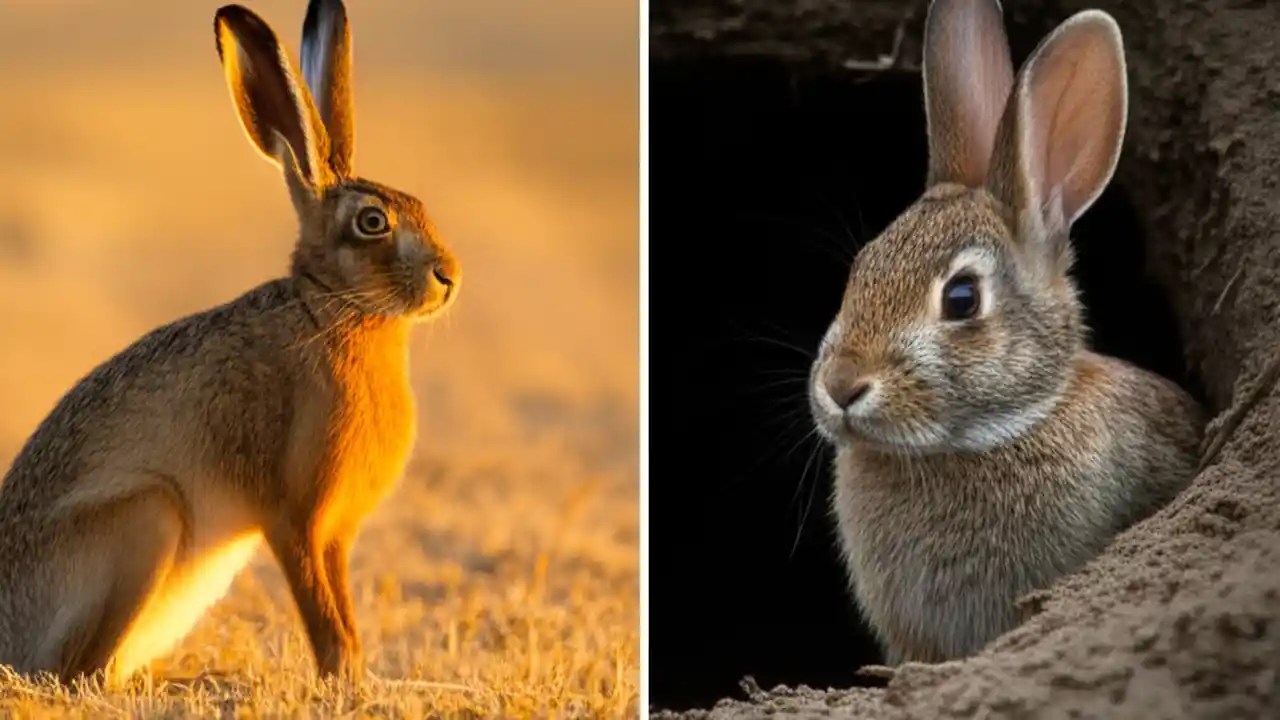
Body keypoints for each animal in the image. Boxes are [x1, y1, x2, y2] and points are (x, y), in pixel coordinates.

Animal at [0, 0, 459, 685]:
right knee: (81, 673)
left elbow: (345, 611)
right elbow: (324, 615)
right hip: (147, 518)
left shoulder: (335, 534)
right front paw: (344, 682)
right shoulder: (294, 515)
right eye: (373, 222)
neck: (336, 310)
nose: (449, 275)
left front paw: (359, 676)